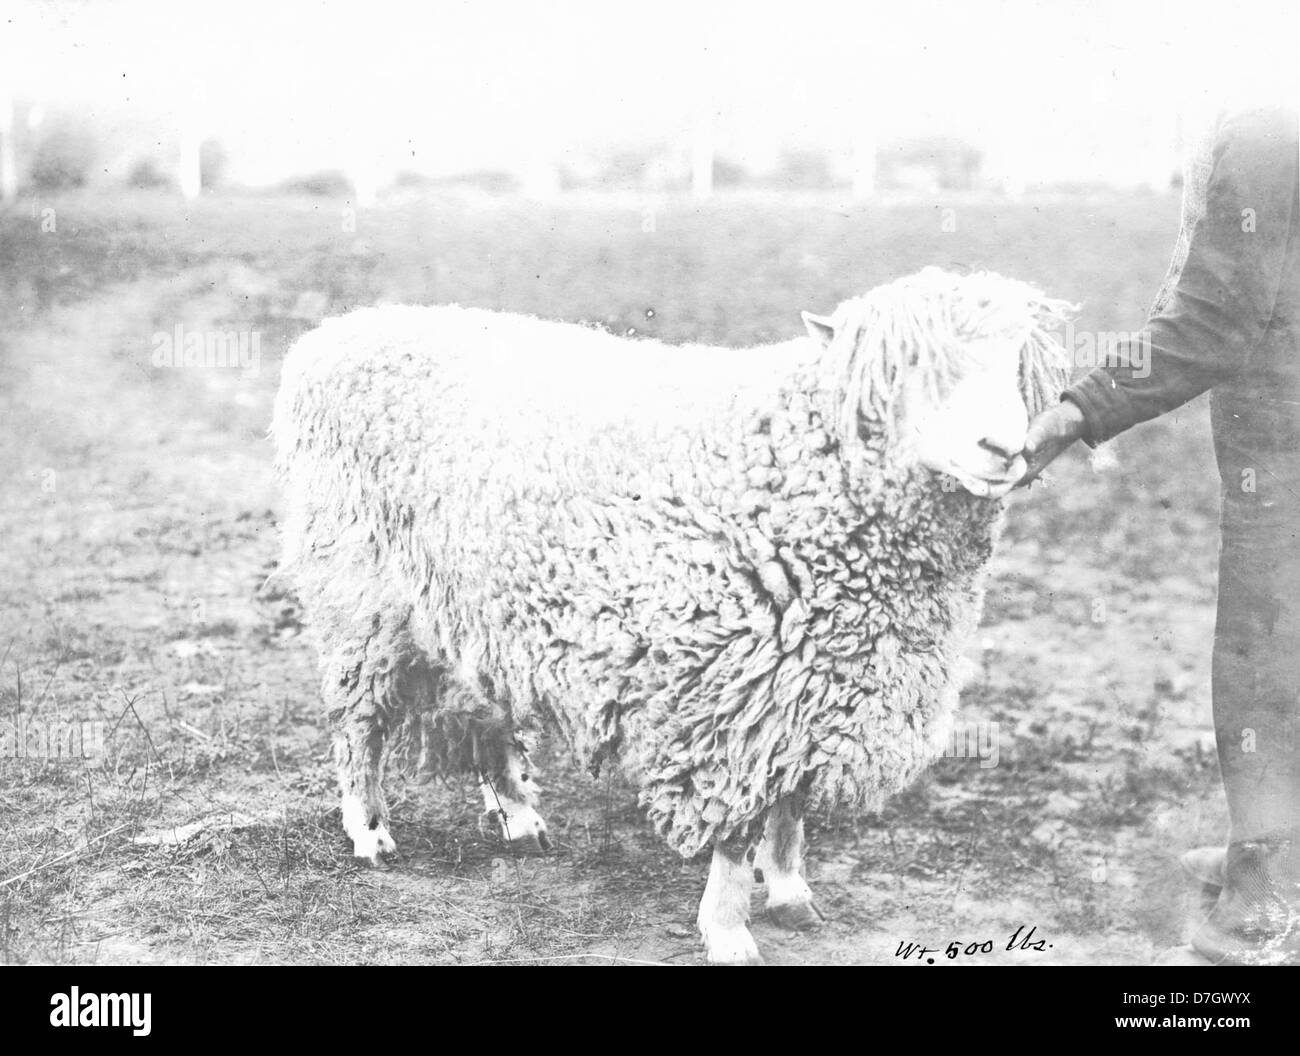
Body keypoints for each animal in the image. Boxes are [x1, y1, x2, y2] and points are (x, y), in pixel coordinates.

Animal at [271, 267, 1071, 965]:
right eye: (904, 369)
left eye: (1016, 366)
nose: (1002, 449)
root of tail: (341, 331)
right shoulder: (734, 693)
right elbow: (737, 831)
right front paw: (729, 928)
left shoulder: (809, 681)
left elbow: (791, 803)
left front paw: (789, 890)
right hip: (360, 589)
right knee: (359, 721)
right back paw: (370, 830)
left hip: (475, 603)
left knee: (483, 710)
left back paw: (520, 818)